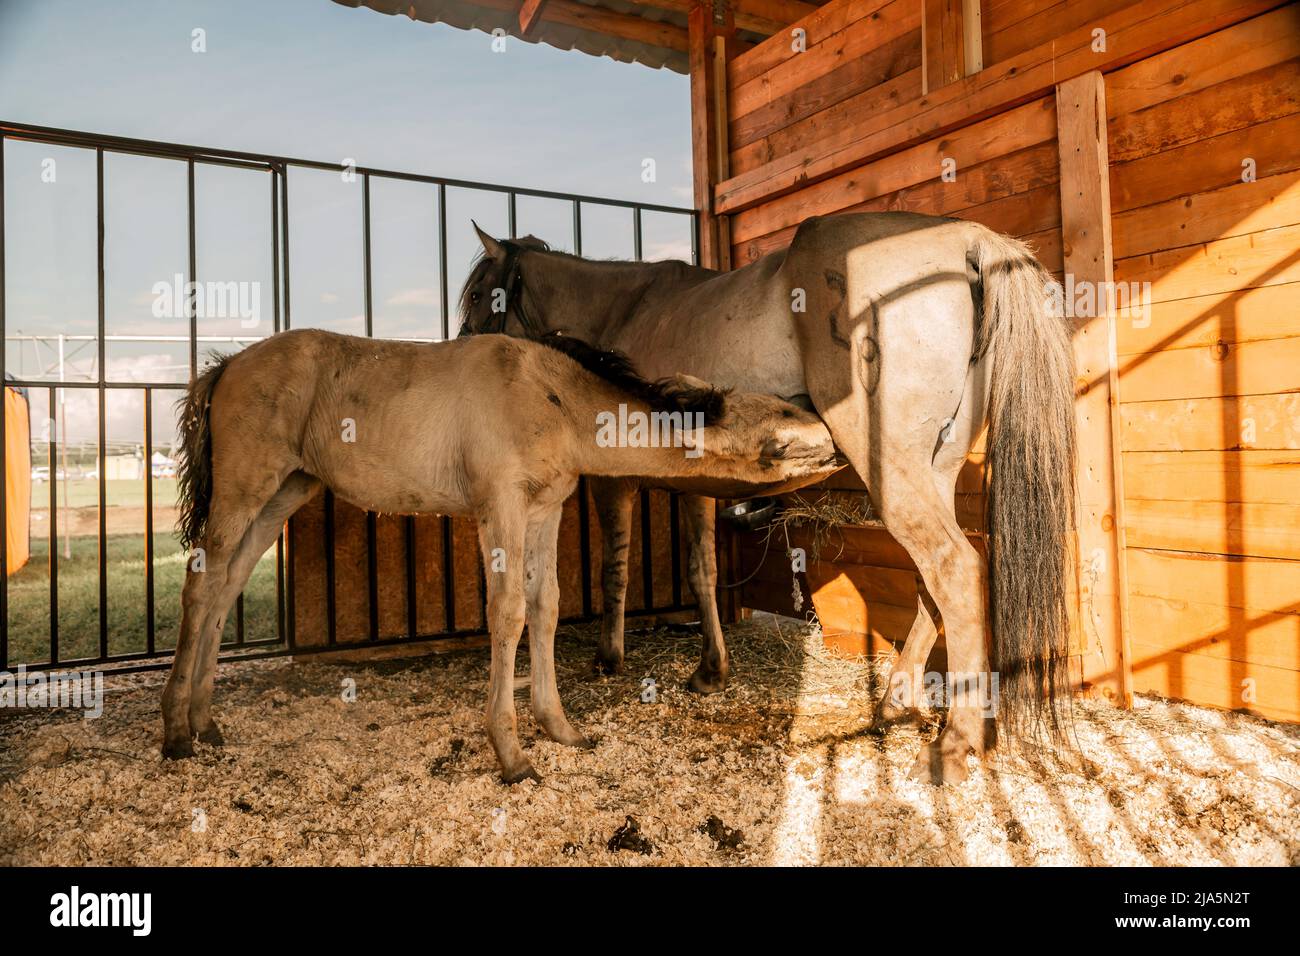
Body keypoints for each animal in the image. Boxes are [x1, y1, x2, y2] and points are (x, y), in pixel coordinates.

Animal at [159, 328, 842, 783]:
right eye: (785, 409)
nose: (834, 437)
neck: (550, 399)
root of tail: (225, 367)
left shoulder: (545, 511)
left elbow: (546, 607)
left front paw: (560, 728)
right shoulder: (502, 509)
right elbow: (507, 613)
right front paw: (511, 755)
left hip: (285, 491)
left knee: (226, 584)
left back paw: (206, 722)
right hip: (246, 487)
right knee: (200, 584)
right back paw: (175, 732)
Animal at [458, 211, 1077, 783]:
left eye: (480, 295)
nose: (463, 353)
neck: (622, 312)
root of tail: (969, 240)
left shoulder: (617, 480)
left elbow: (616, 567)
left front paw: (610, 656)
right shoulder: (697, 482)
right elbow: (702, 568)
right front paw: (711, 670)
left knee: (953, 569)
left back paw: (953, 743)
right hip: (935, 469)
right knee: (935, 581)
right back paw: (897, 702)